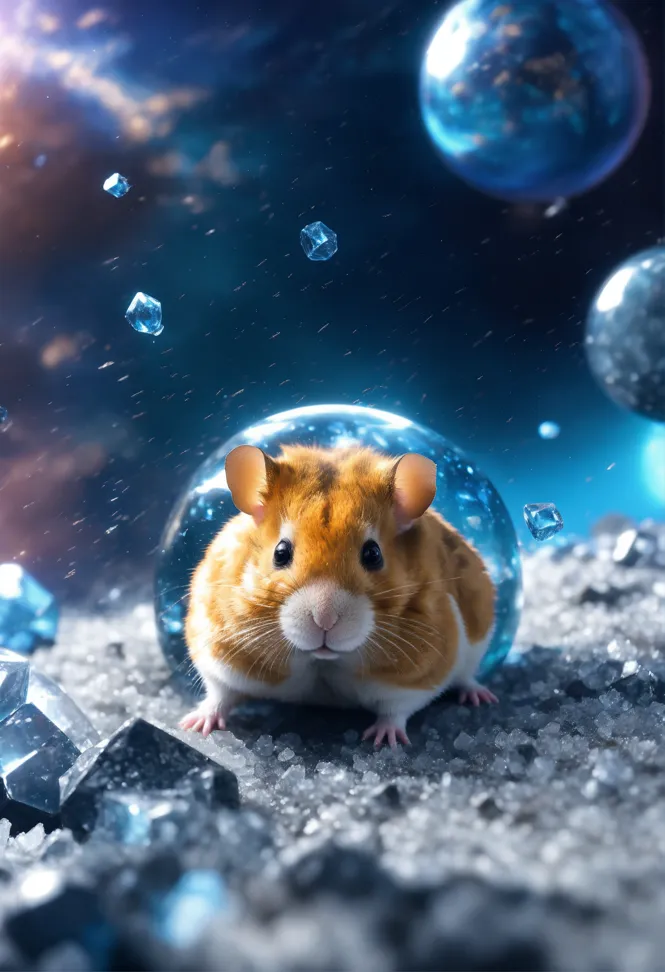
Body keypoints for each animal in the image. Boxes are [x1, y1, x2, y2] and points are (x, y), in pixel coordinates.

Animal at [180, 443, 497, 748]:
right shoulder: (218, 657)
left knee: (467, 678)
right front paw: (193, 725)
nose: (325, 620)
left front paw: (383, 741)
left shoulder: (417, 678)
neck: (322, 661)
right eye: (281, 553)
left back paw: (482, 697)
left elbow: (396, 711)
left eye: (373, 554)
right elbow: (219, 695)